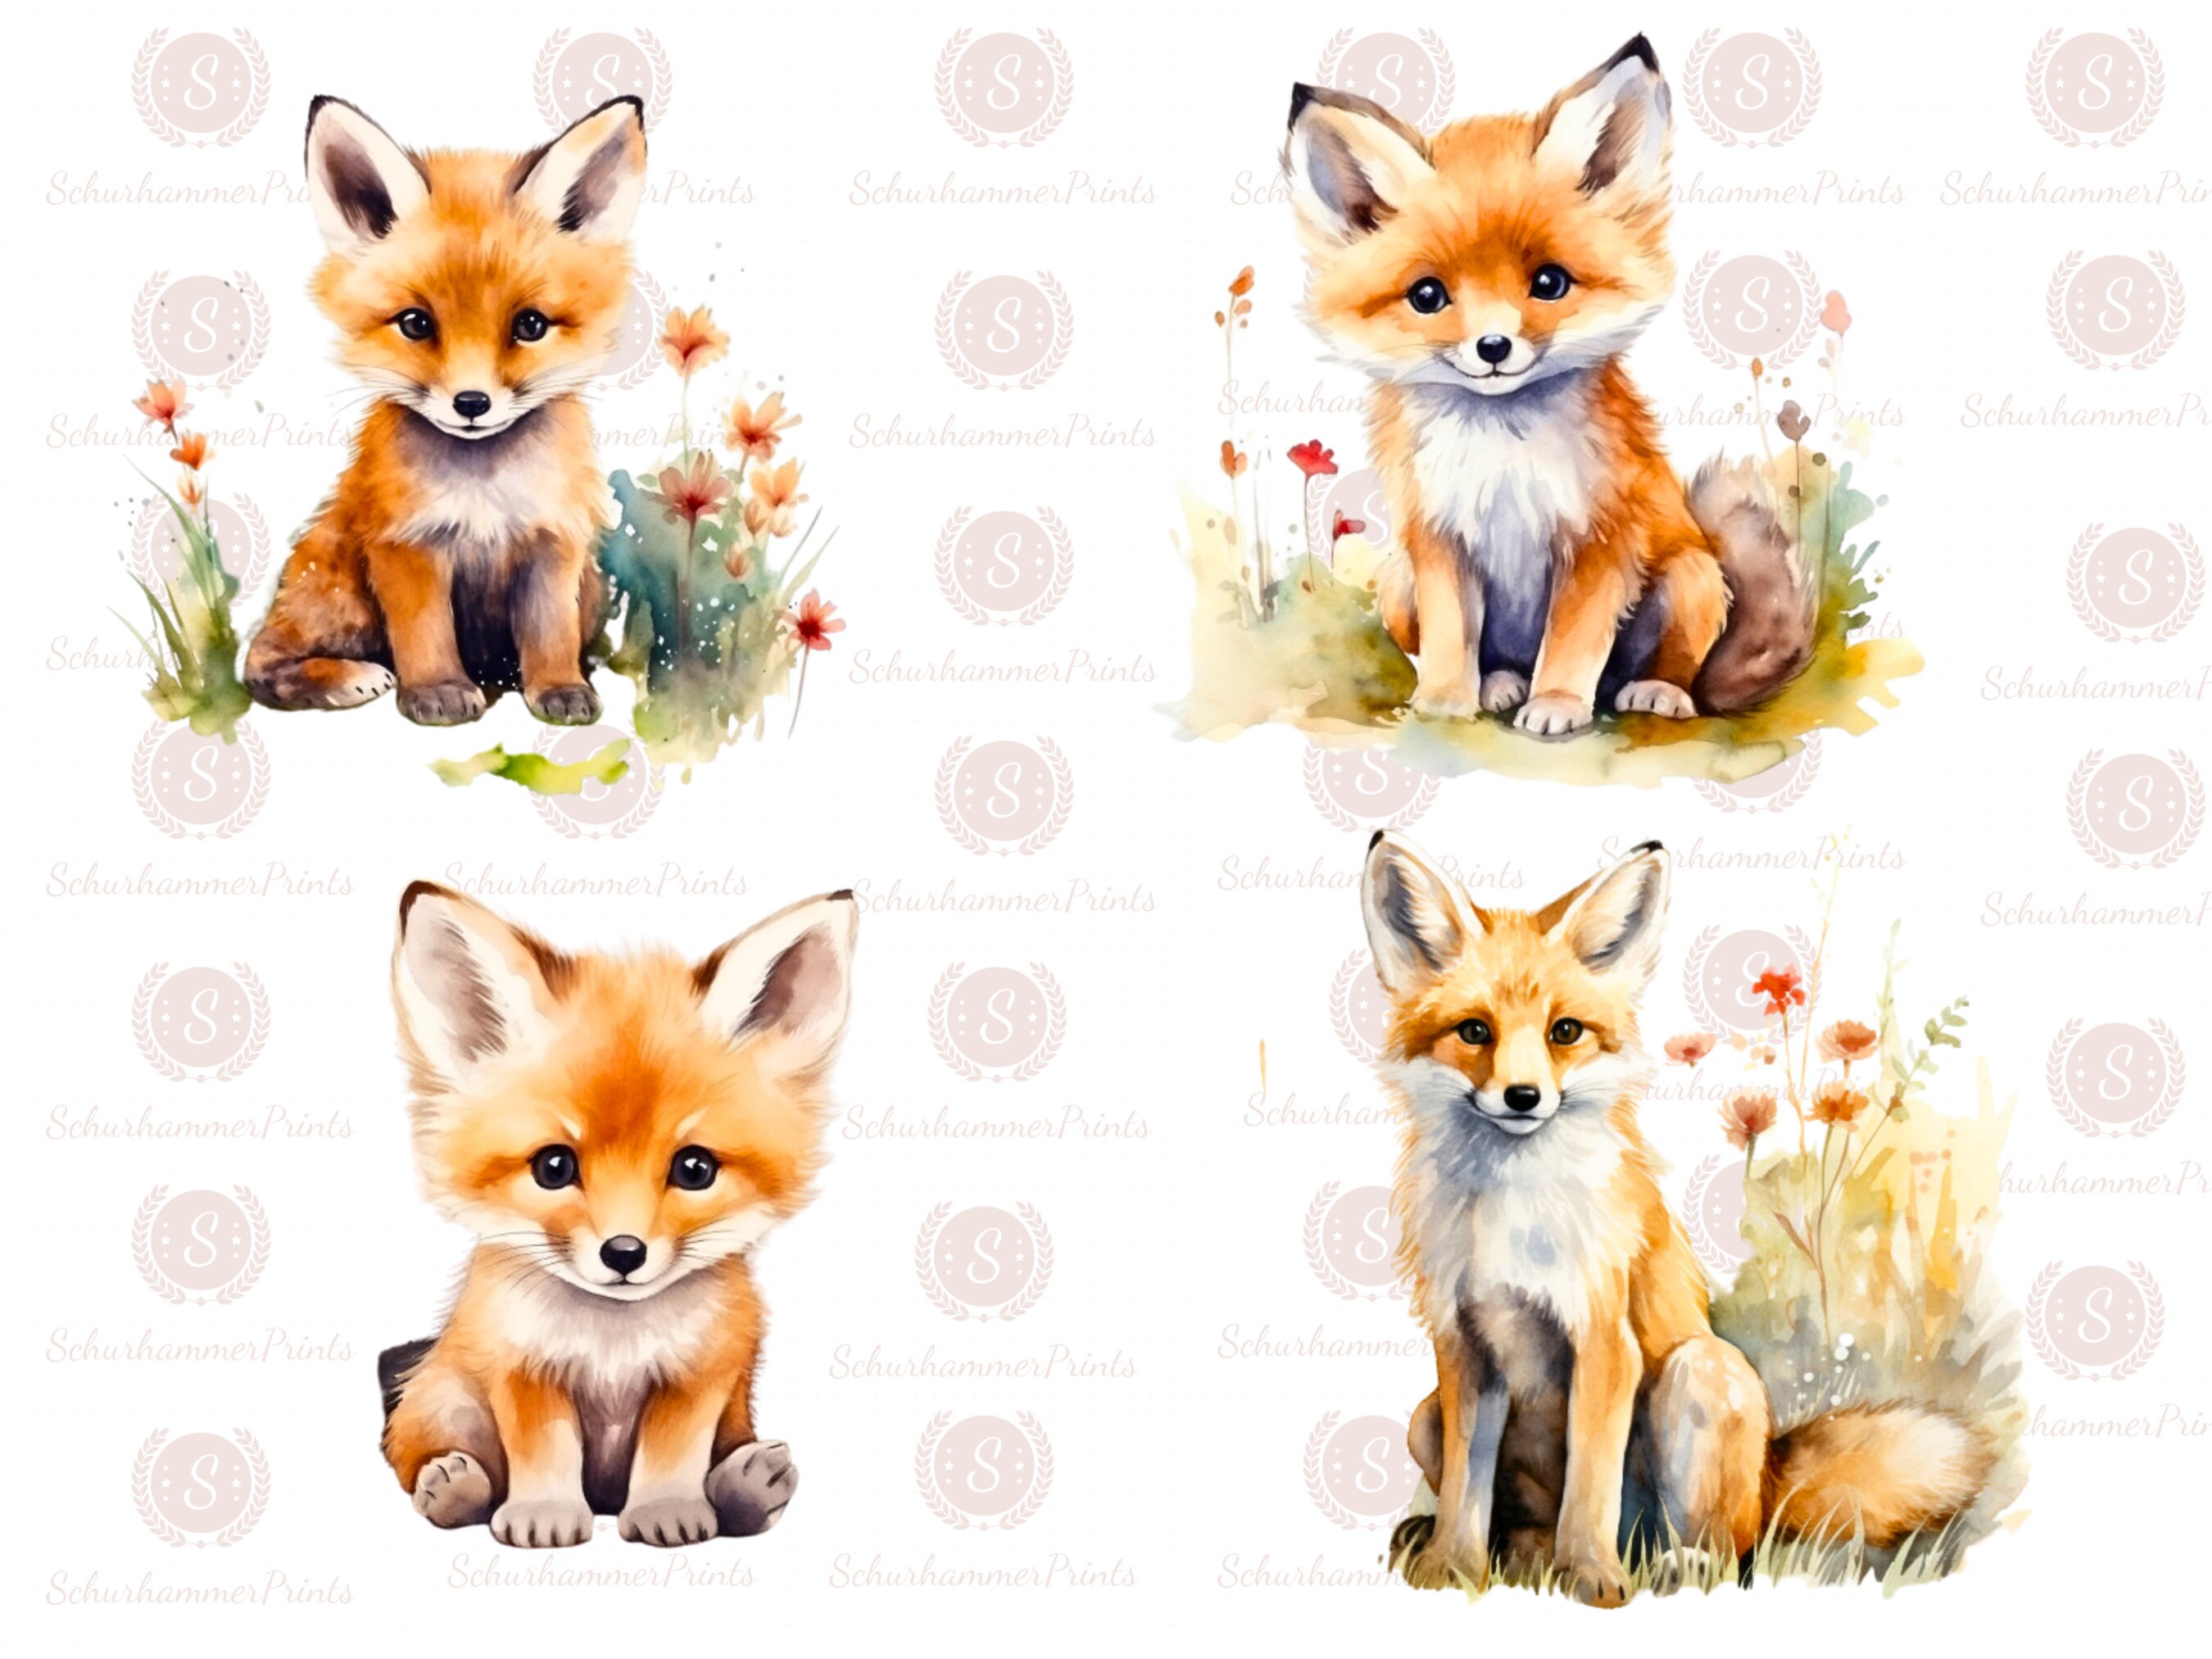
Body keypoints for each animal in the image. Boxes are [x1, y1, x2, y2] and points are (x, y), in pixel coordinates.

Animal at [244, 94, 647, 727]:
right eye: (416, 323)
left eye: (530, 325)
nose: (472, 403)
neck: (482, 489)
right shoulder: (406, 542)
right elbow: (424, 632)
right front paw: (437, 690)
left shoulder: (552, 541)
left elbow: (550, 631)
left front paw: (558, 687)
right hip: (336, 594)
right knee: (262, 662)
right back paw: (345, 676)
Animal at [375, 881, 857, 1548]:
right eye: (553, 1167)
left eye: (694, 1169)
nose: (624, 1252)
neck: (613, 1342)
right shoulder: (523, 1369)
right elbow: (545, 1453)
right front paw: (545, 1515)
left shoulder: (701, 1373)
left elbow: (672, 1455)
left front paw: (667, 1511)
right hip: (447, 1401)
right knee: (428, 1457)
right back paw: (454, 1486)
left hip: (736, 1416)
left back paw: (747, 1489)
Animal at [1284, 37, 1813, 735]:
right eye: (1428, 295)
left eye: (1549, 282)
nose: (1493, 348)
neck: (1502, 450)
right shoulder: (1439, 539)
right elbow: (1452, 639)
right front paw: (1444, 704)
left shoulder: (1599, 540)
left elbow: (1574, 641)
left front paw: (1558, 703)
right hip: (1399, 584)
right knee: (1484, 656)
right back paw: (1499, 684)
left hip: (1693, 576)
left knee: (1660, 672)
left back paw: (1656, 691)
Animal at [1359, 833, 1993, 1604]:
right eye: (1474, 1031)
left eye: (1565, 1031)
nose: (1523, 1096)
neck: (1512, 1216)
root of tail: (1771, 1475)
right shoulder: (1465, 1348)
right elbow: (1464, 1491)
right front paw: (1450, 1567)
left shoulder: (1605, 1339)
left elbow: (1589, 1487)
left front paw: (1589, 1576)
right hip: (1426, 1416)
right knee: (1521, 1530)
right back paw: (1497, 1551)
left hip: (1701, 1373)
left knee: (1726, 1549)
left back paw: (1666, 1566)